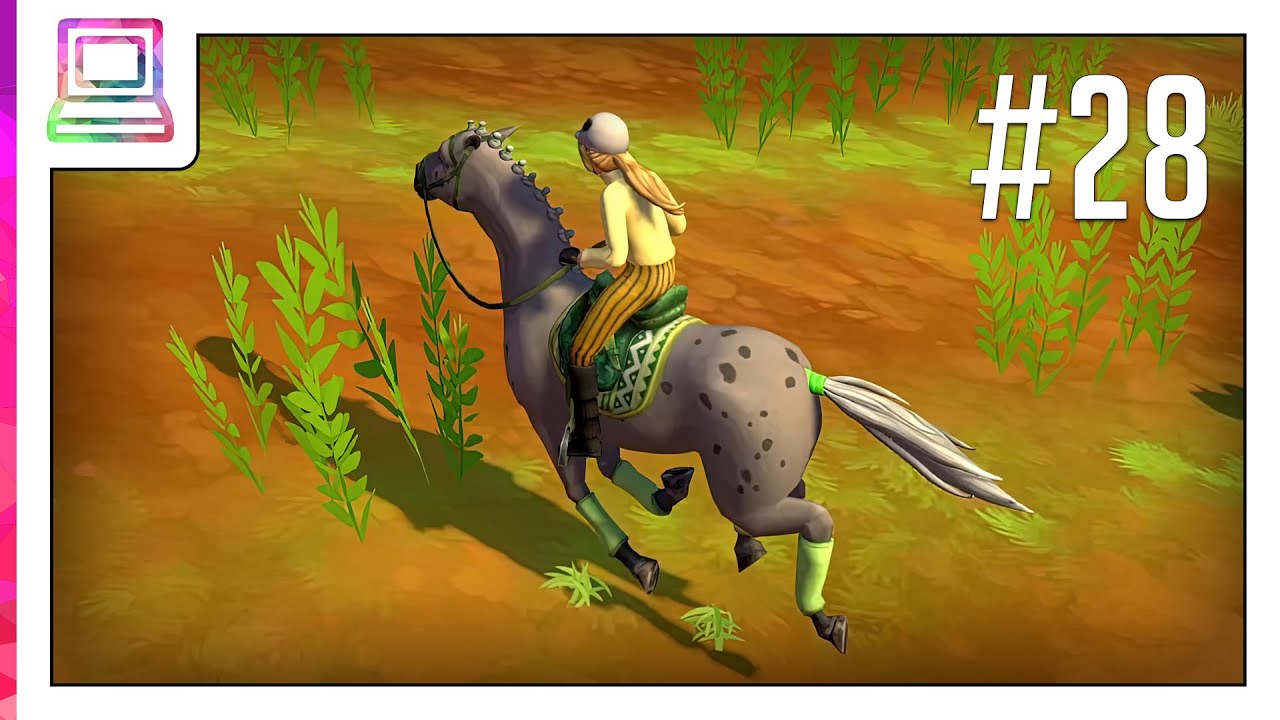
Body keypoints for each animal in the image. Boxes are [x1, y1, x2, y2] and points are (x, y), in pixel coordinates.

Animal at [412, 121, 1031, 654]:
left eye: (447, 152)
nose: (417, 174)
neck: (543, 295)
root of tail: (809, 377)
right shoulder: (597, 428)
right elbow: (615, 470)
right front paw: (668, 491)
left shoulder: (549, 421)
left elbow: (579, 489)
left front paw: (638, 559)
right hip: (767, 477)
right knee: (794, 500)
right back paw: (748, 548)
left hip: (748, 494)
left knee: (815, 521)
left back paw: (824, 619)